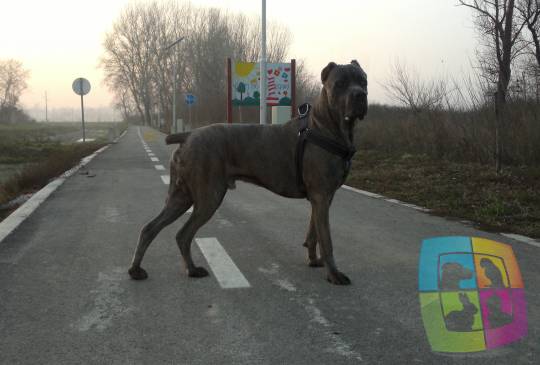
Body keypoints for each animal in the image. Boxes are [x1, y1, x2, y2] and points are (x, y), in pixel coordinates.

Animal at [129, 60, 370, 284]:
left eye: (363, 81)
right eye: (340, 83)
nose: (360, 95)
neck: (327, 126)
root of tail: (188, 135)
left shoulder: (322, 198)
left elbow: (313, 233)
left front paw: (313, 260)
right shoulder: (321, 195)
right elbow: (327, 239)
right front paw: (334, 275)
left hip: (181, 196)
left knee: (151, 228)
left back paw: (137, 270)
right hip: (209, 196)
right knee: (183, 233)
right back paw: (191, 269)